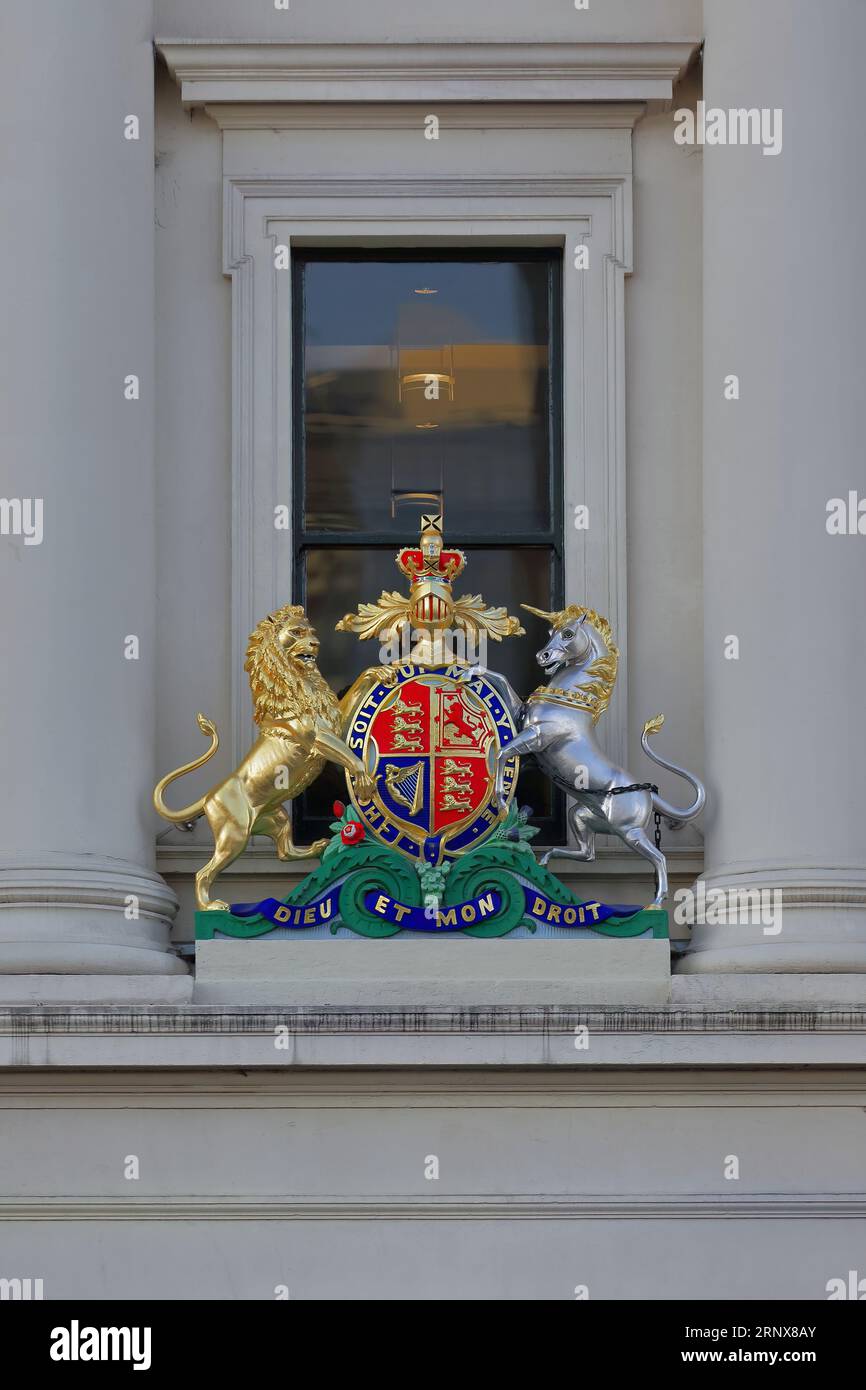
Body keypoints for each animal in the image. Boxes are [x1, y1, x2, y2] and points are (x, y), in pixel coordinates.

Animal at [155, 600, 397, 906]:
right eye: (296, 632)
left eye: (312, 632)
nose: (316, 645)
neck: (300, 683)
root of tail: (208, 796)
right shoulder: (314, 736)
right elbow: (348, 755)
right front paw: (364, 780)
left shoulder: (334, 723)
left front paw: (378, 673)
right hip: (234, 834)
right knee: (203, 873)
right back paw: (211, 905)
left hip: (276, 817)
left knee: (284, 853)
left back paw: (317, 847)